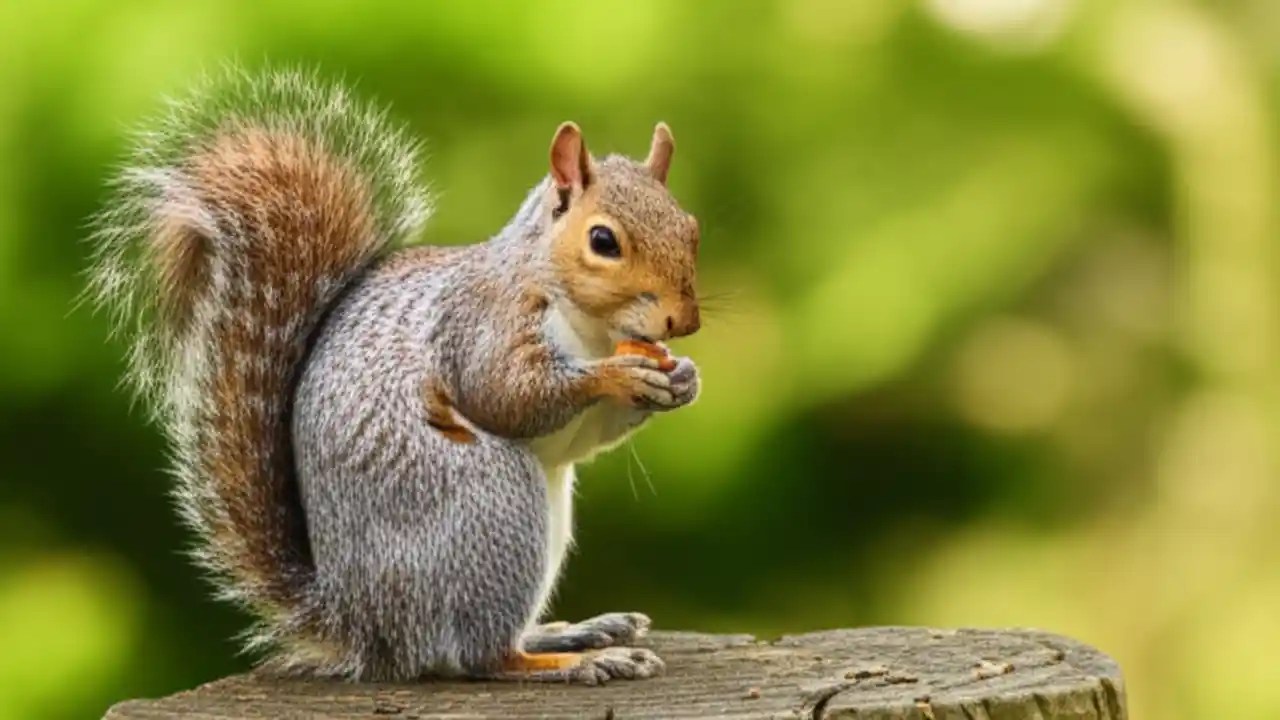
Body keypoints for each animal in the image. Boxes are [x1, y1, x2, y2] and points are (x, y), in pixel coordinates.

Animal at [86, 67, 702, 684]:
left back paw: (573, 631)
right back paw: (570, 661)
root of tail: (366, 630)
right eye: (603, 241)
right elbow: (506, 396)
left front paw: (682, 378)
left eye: (691, 228)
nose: (685, 322)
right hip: (494, 504)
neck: (592, 328)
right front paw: (617, 377)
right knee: (482, 656)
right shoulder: (481, 324)